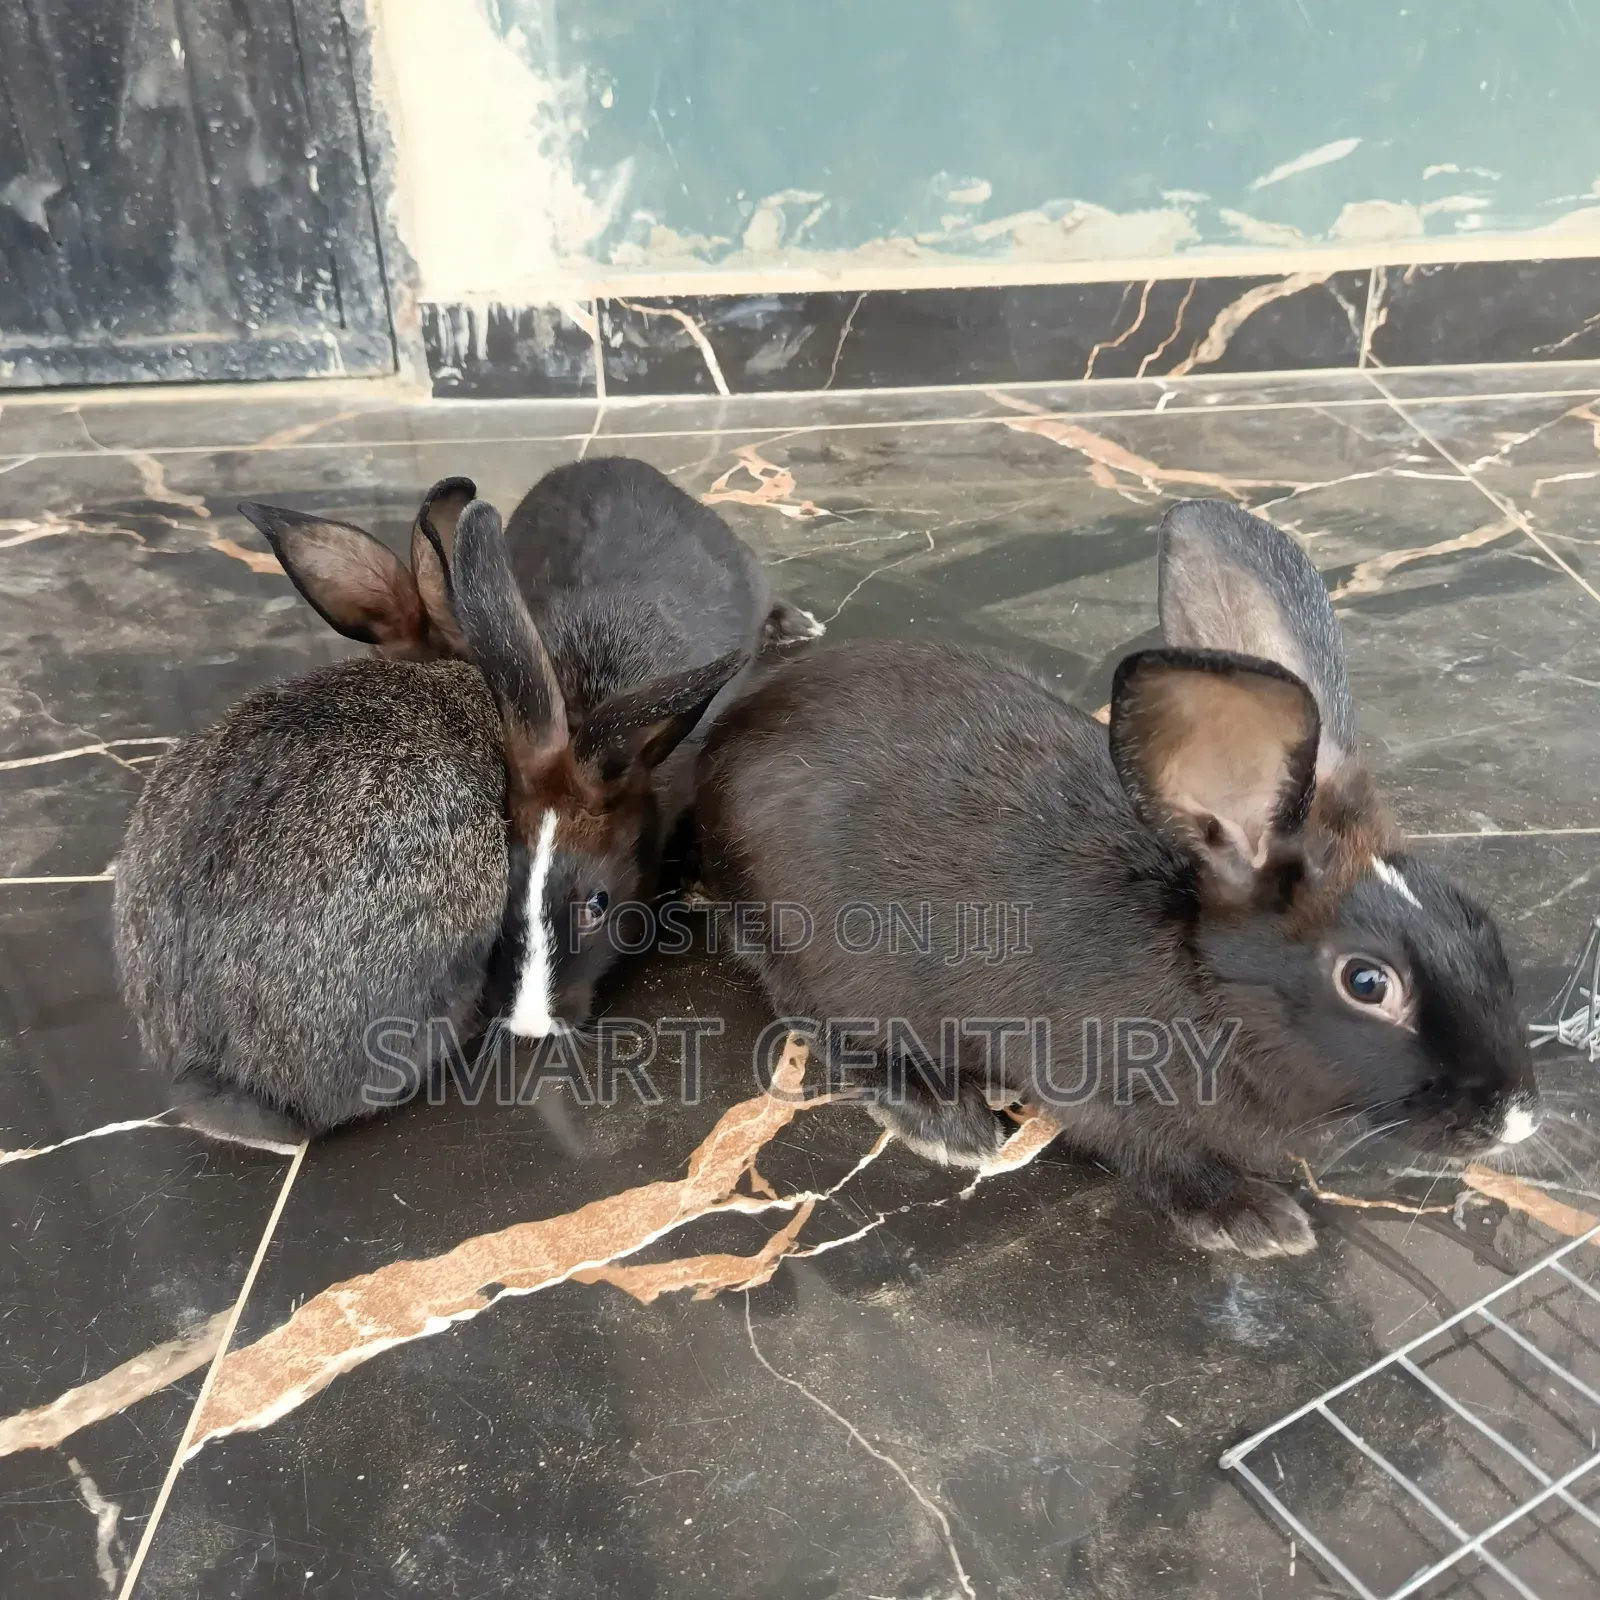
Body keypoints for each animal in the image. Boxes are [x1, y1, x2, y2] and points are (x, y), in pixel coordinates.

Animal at [694, 498, 1541, 1258]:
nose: (1517, 1117)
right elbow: (1159, 1155)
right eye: (1367, 983)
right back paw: (947, 1117)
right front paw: (1257, 1221)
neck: (1207, 984)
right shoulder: (1103, 1091)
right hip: (826, 951)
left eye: (1479, 921)